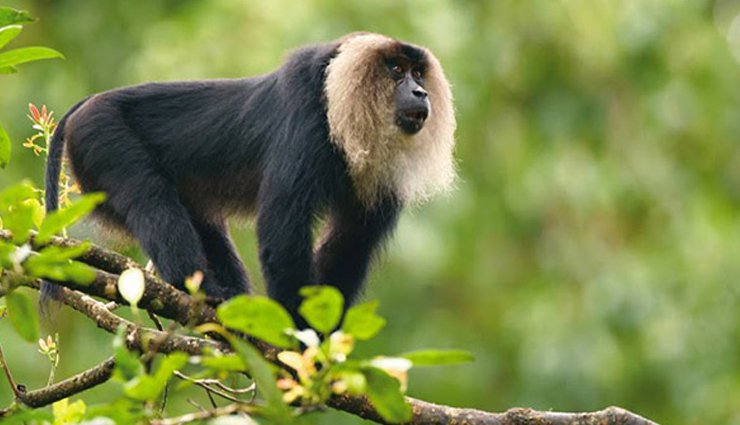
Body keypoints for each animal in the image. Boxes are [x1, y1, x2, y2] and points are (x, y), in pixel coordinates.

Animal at [42, 32, 456, 323]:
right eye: (396, 71)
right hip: (102, 135)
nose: (420, 92)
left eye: (418, 73)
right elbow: (282, 237)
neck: (338, 109)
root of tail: (88, 104)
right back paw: (202, 289)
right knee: (149, 198)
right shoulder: (306, 123)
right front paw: (297, 339)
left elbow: (348, 244)